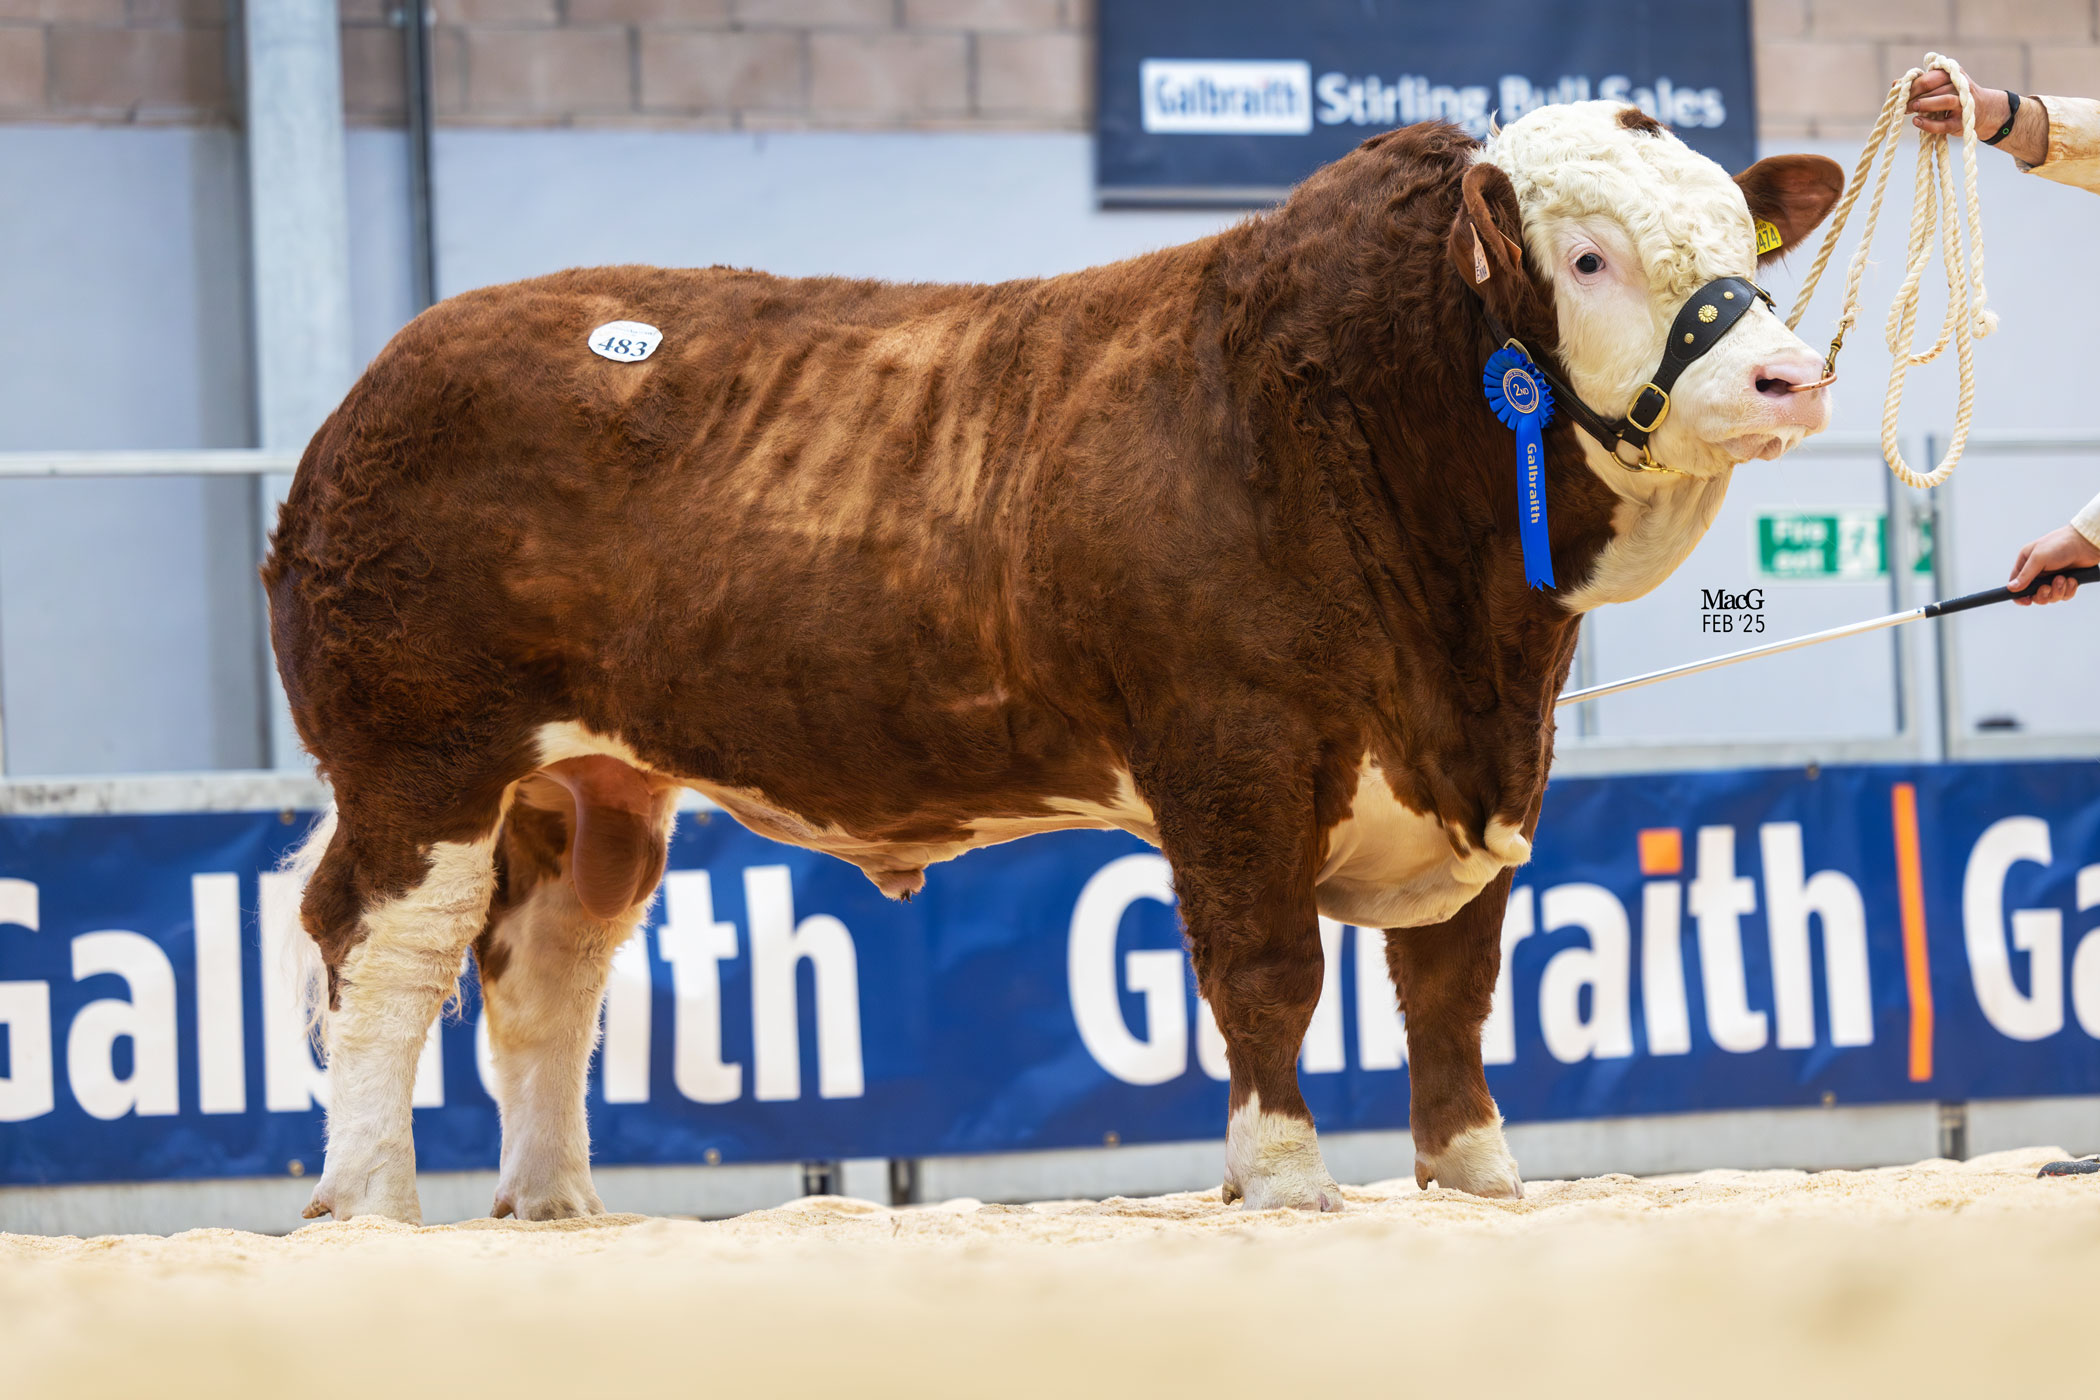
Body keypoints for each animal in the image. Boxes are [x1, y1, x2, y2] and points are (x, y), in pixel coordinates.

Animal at [263, 101, 1841, 1223]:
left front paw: (1475, 1177)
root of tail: (375, 388)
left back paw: (556, 1205)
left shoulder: (1491, 762)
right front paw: (1282, 1176)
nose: (1788, 377)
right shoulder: (1233, 752)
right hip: (420, 751)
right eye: (1588, 258)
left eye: (1746, 248)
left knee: (545, 973)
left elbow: (1452, 987)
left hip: (591, 784)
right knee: (380, 951)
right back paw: (375, 1202)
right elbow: (1268, 970)